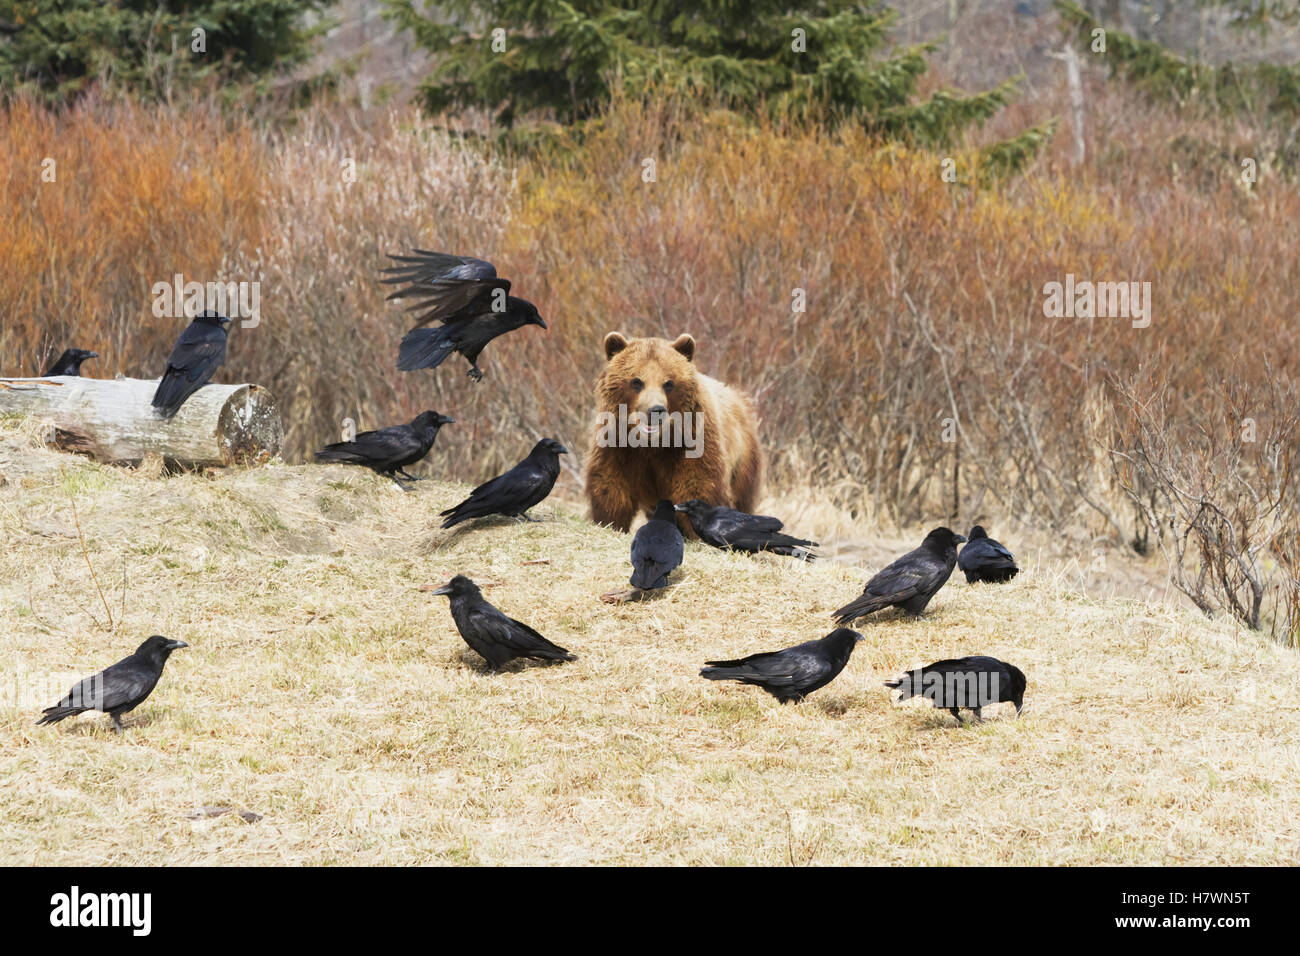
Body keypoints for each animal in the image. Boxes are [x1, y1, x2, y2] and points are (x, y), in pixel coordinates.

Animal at [585, 331, 762, 536]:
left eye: (669, 383)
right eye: (636, 381)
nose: (656, 409)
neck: (653, 444)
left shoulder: (693, 442)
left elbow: (697, 484)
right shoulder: (617, 444)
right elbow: (611, 485)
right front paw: (610, 521)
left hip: (743, 460)